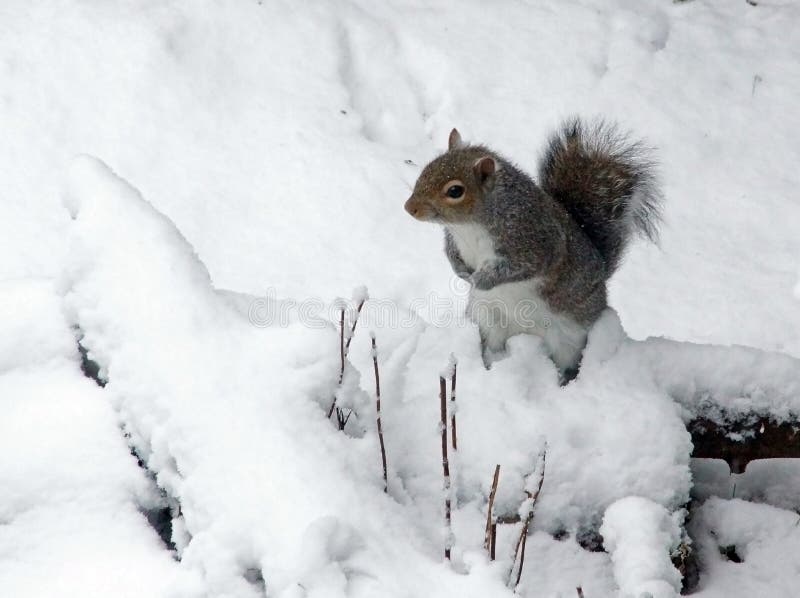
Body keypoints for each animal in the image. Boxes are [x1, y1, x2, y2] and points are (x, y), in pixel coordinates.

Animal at [404, 118, 663, 379]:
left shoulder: (534, 243)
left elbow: (518, 268)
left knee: (566, 362)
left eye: (455, 191)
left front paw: (480, 280)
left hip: (567, 339)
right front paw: (460, 271)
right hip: (488, 320)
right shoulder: (455, 240)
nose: (409, 207)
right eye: (426, 169)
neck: (468, 227)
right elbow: (451, 253)